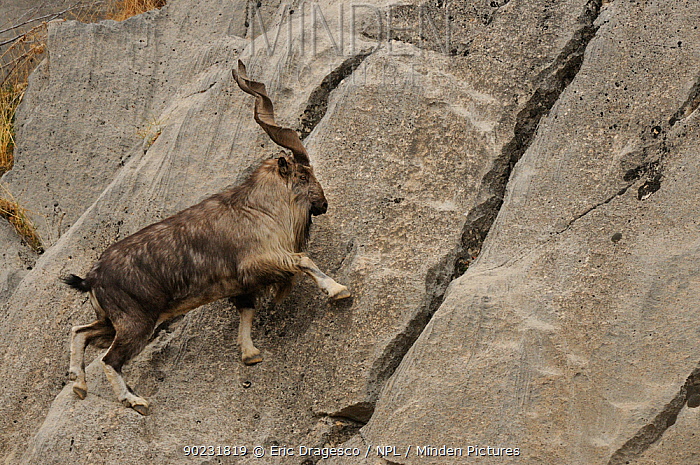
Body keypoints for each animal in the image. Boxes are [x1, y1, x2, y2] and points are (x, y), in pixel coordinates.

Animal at [63, 60, 350, 415]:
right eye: (304, 175)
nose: (323, 204)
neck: (259, 209)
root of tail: (91, 277)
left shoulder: (241, 285)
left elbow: (246, 309)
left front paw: (250, 354)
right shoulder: (261, 259)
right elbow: (303, 260)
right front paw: (338, 290)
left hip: (111, 321)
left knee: (81, 332)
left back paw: (78, 384)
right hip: (136, 322)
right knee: (109, 359)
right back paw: (134, 401)